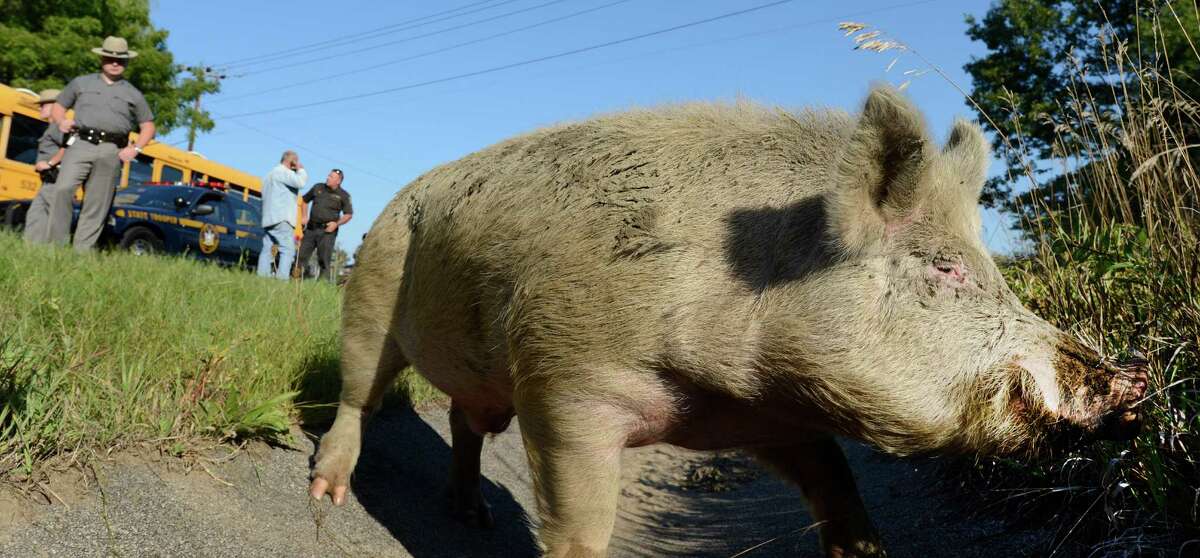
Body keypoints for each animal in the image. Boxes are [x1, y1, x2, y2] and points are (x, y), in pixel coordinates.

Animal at [307, 86, 1148, 557]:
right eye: (946, 269)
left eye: (993, 271)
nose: (1132, 377)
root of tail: (402, 195)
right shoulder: (565, 379)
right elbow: (581, 527)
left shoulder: (767, 419)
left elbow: (841, 491)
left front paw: (863, 548)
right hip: (372, 286)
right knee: (358, 396)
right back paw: (329, 494)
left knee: (463, 423)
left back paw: (473, 516)